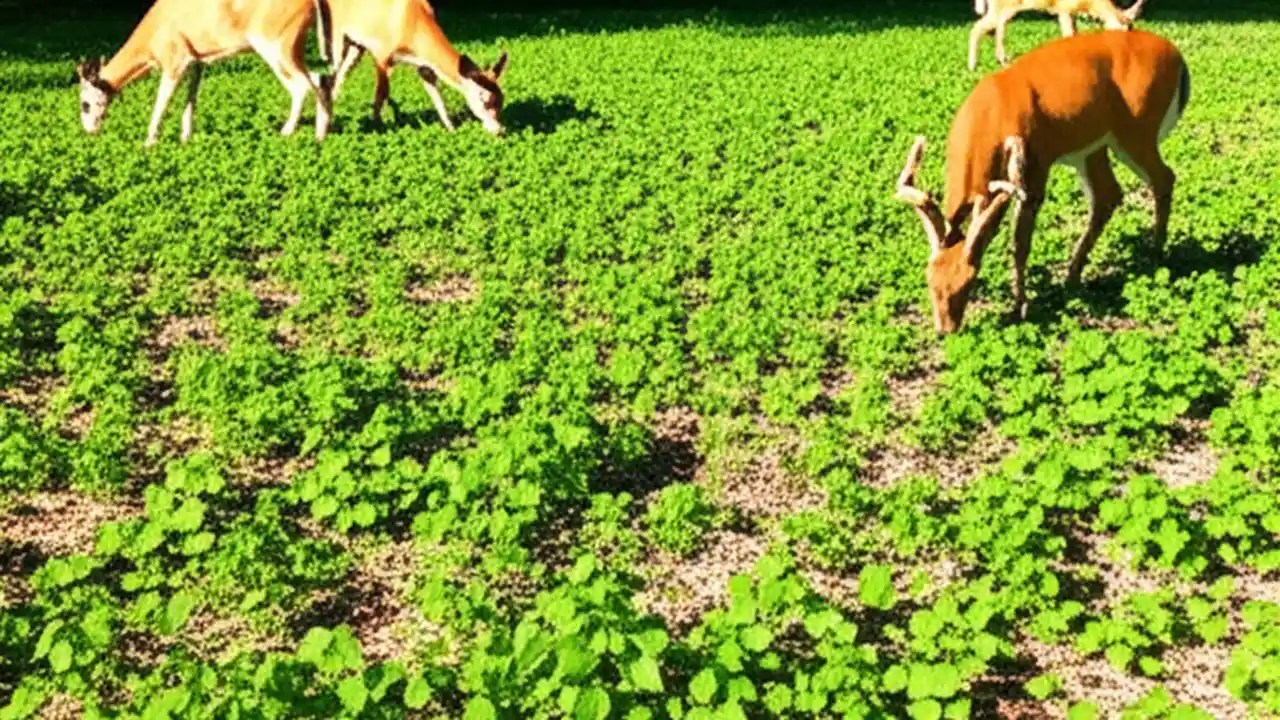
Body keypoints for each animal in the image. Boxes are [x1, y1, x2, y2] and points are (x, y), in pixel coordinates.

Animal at [75, 0, 333, 147]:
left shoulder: (175, 63)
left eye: (85, 104)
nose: (89, 131)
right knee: (320, 79)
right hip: (295, 50)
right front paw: (185, 138)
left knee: (301, 86)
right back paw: (320, 135)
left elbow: (162, 102)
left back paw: (287, 132)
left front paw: (149, 142)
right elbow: (191, 100)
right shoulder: (197, 63)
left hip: (273, 47)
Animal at [314, 0, 508, 135]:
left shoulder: (424, 66)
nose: (499, 130)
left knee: (340, 75)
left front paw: (451, 129)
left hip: (357, 45)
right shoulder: (382, 54)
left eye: (501, 100)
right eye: (484, 99)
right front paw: (377, 127)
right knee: (332, 72)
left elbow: (438, 99)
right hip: (337, 34)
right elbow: (380, 94)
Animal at [896, 29, 1190, 334]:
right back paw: (1072, 276)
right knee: (1108, 195)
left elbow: (1020, 242)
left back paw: (1155, 255)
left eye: (970, 281)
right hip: (1092, 147)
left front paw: (1020, 307)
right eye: (930, 279)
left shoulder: (1036, 166)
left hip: (1137, 129)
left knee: (1163, 177)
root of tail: (1178, 56)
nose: (945, 329)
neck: (990, 114)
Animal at [969, 0, 1150, 71]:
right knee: (977, 28)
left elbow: (1074, 34)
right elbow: (1069, 34)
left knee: (996, 29)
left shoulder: (1069, 11)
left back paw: (1003, 61)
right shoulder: (1064, 9)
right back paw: (973, 66)